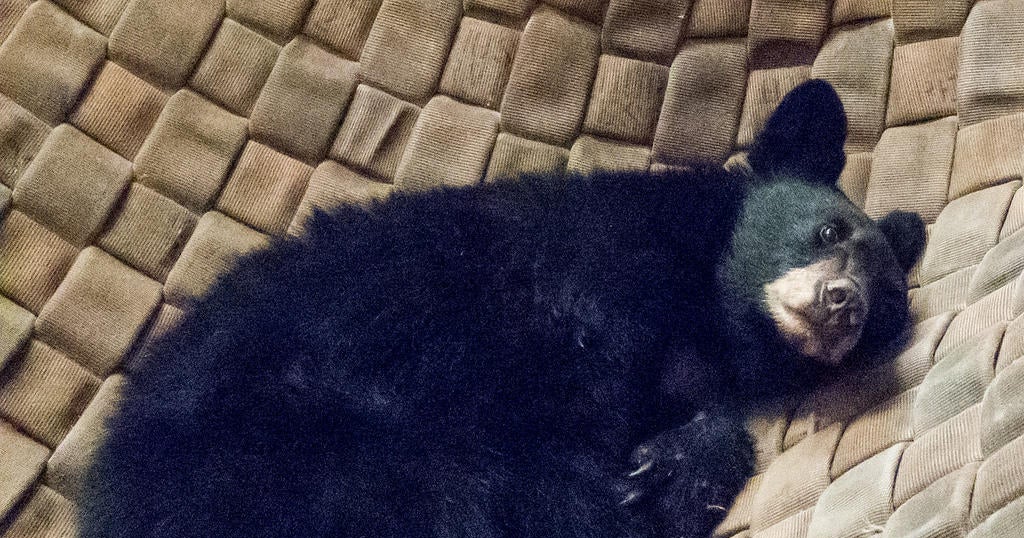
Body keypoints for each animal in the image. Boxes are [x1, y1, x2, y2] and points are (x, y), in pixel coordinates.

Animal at [79, 79, 925, 538]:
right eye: (828, 229)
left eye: (888, 306)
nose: (846, 304)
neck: (704, 317)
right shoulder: (574, 284)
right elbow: (545, 437)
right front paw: (646, 486)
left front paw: (671, 466)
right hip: (295, 451)